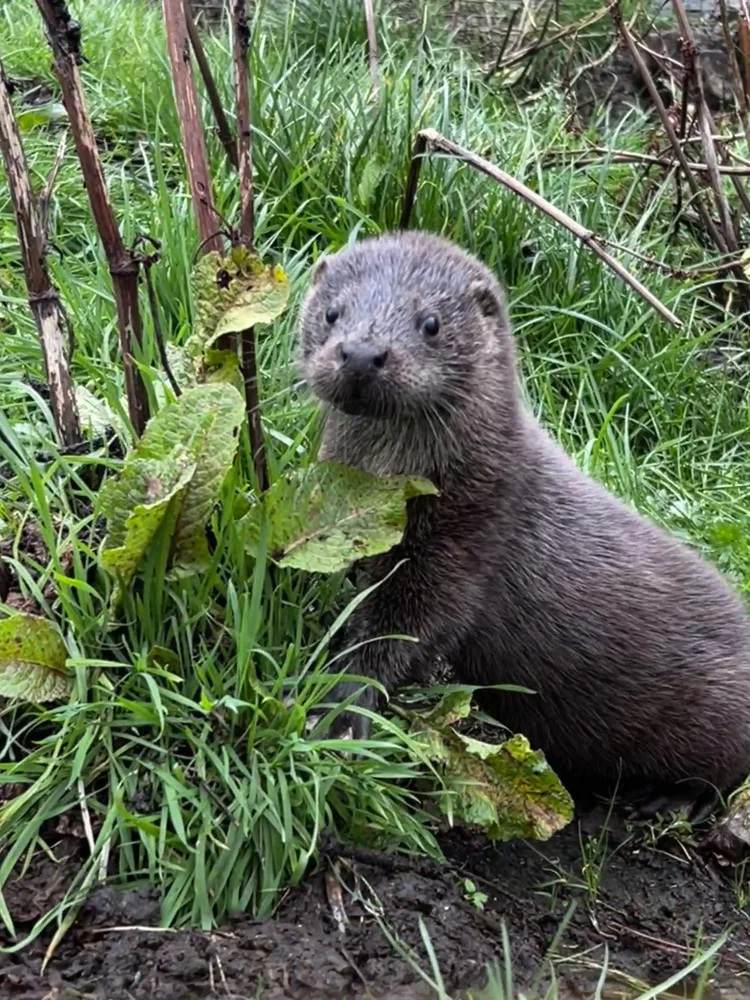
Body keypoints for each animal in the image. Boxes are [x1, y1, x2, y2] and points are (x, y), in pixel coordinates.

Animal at [298, 229, 750, 810]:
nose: (360, 354)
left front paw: (338, 710)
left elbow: (404, 637)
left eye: (430, 322)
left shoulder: (460, 541)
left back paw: (668, 799)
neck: (385, 479)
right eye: (332, 311)